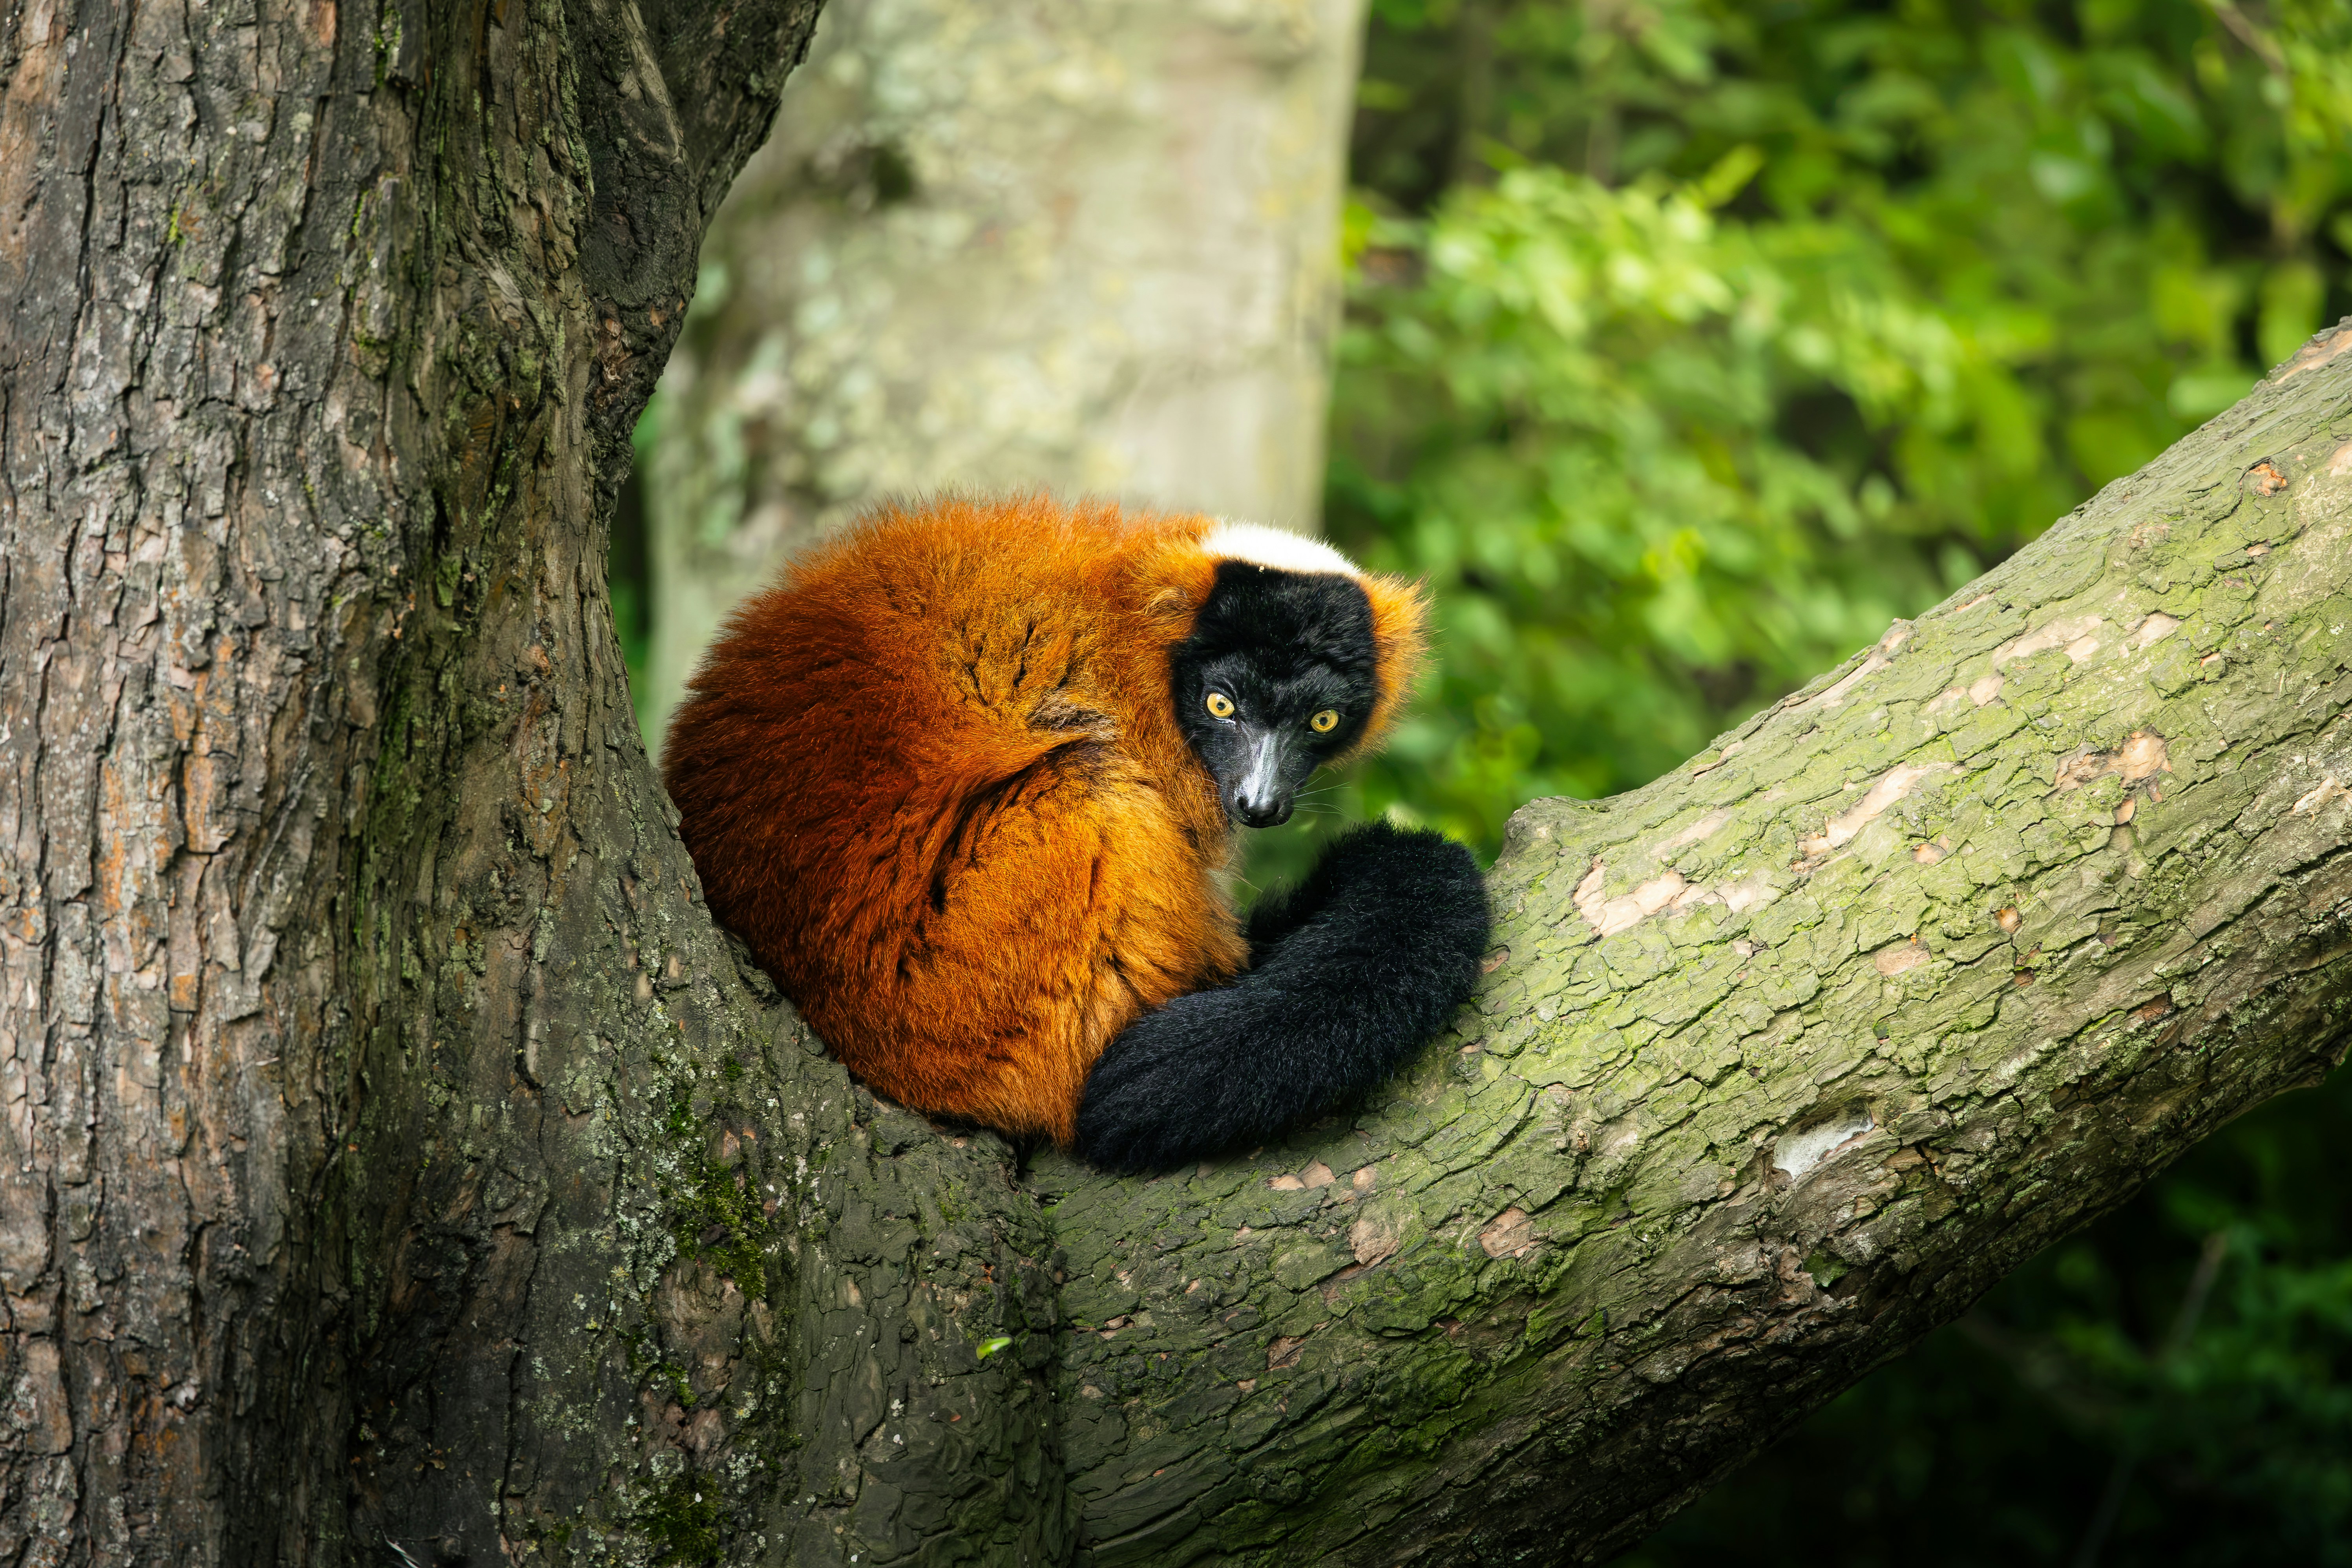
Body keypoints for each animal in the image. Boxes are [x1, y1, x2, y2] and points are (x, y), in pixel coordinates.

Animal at [661, 494, 1490, 1173]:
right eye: (1222, 706)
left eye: (1320, 721)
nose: (1259, 802)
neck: (1131, 627)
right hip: (961, 1004)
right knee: (1091, 784)